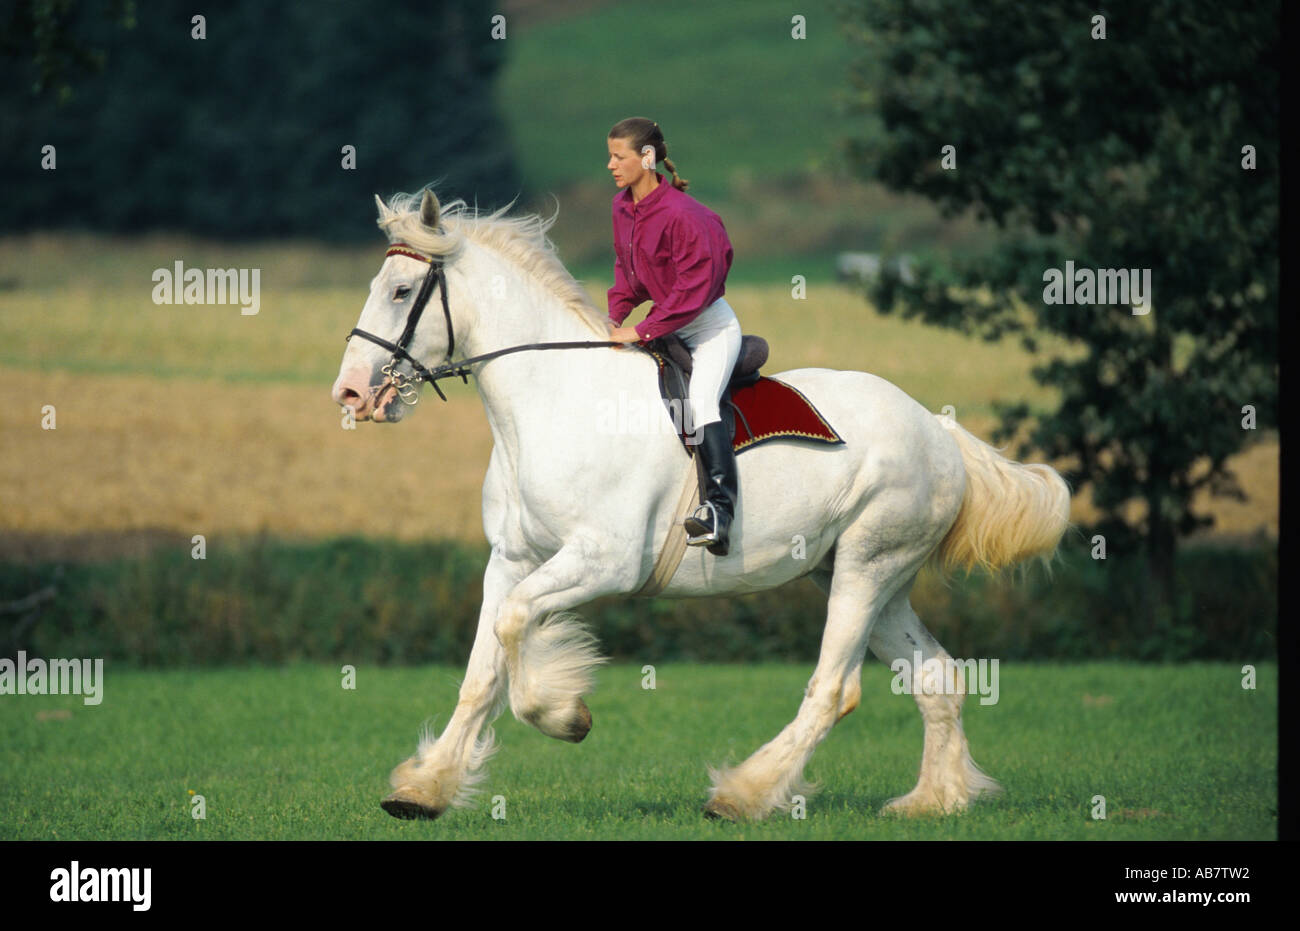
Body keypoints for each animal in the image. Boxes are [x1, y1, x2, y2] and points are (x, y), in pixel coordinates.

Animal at [331, 189, 1072, 822]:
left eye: (401, 291)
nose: (351, 394)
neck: (550, 400)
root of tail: (937, 428)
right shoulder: (511, 560)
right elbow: (482, 670)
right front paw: (425, 789)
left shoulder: (601, 562)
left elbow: (515, 632)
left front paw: (565, 714)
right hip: (861, 575)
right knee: (938, 678)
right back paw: (934, 802)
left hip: (869, 565)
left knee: (835, 688)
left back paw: (744, 794)